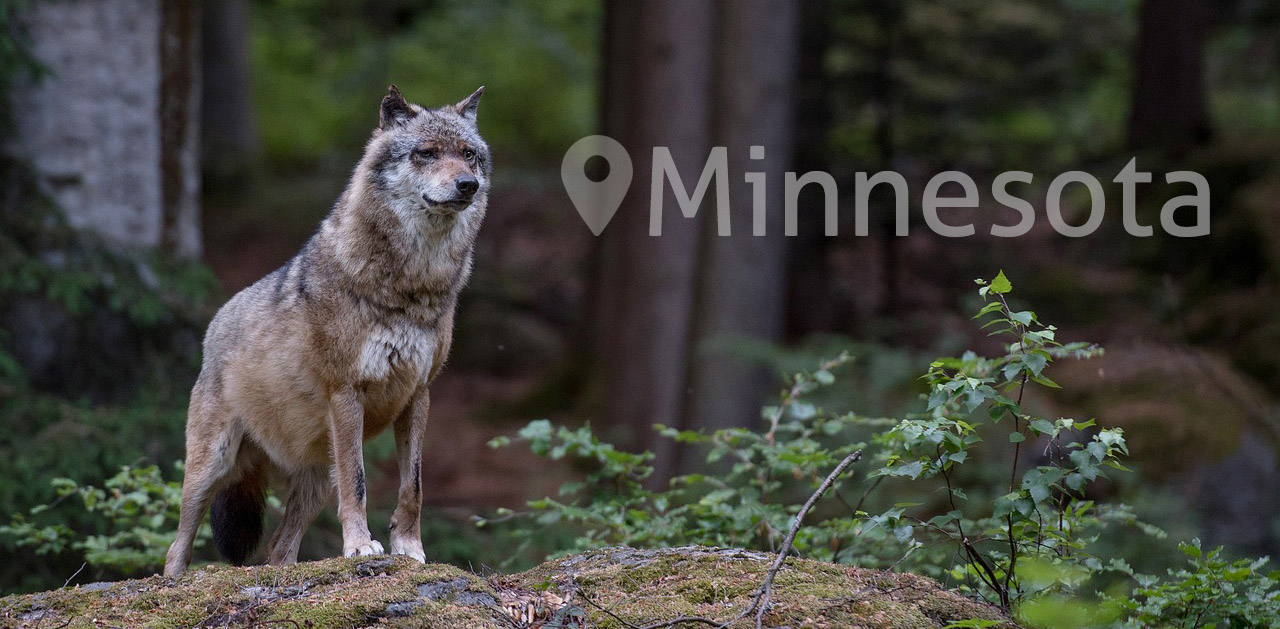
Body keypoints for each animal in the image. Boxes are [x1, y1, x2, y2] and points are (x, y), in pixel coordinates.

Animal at [163, 85, 490, 579]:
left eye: (468, 155)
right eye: (427, 153)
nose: (467, 184)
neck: (413, 286)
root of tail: (214, 325)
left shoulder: (419, 394)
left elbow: (412, 485)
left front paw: (410, 548)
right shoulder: (346, 391)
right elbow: (357, 484)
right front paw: (360, 547)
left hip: (313, 480)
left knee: (278, 548)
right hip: (211, 468)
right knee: (176, 546)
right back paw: (173, 582)